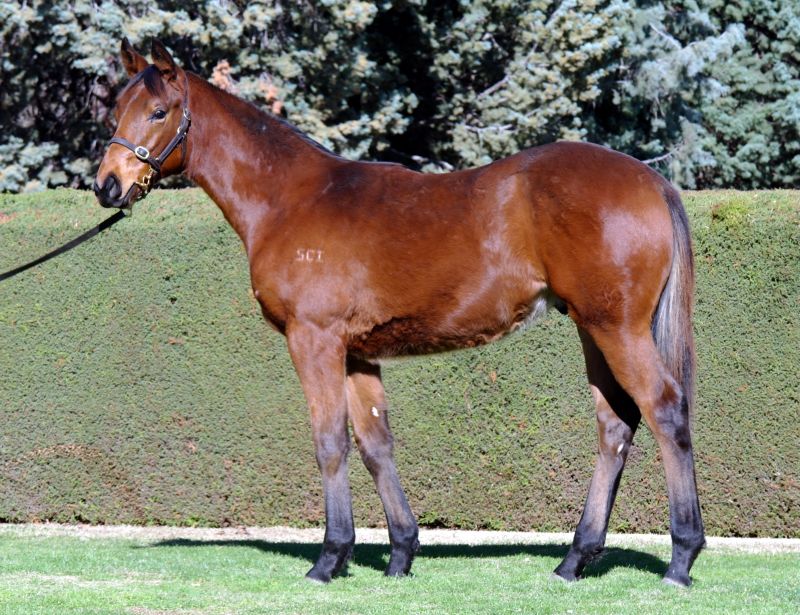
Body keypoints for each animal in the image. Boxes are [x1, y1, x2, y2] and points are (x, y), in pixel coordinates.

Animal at [94, 39, 705, 586]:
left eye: (158, 111)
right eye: (115, 110)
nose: (108, 186)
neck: (291, 199)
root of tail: (653, 182)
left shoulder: (314, 340)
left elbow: (330, 442)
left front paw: (329, 559)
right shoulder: (359, 354)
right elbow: (375, 444)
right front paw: (401, 555)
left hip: (617, 328)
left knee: (664, 409)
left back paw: (680, 559)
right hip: (593, 329)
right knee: (615, 424)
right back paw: (575, 560)